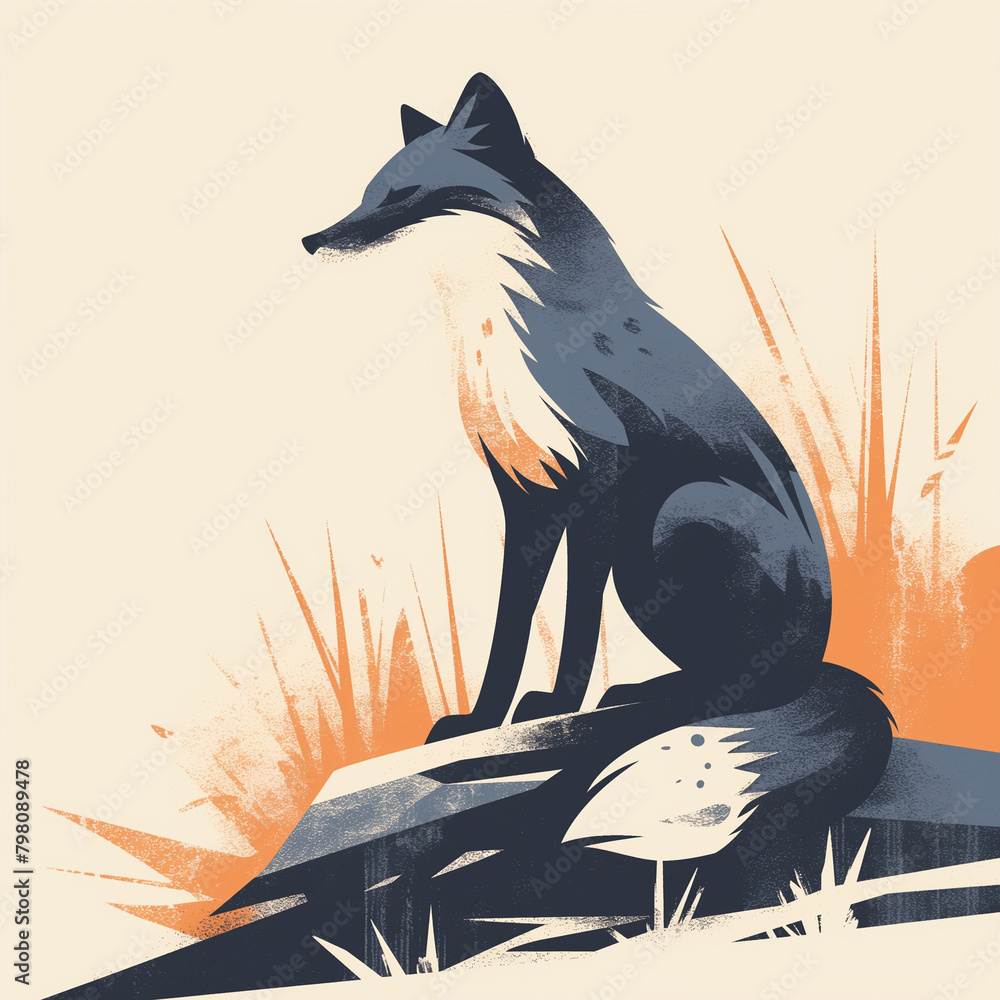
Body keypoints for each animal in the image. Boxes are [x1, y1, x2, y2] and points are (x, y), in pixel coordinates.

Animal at [302, 73, 892, 787]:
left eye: (399, 194)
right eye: (368, 191)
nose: (309, 240)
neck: (500, 338)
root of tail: (821, 658)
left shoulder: (599, 486)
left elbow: (578, 621)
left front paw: (553, 707)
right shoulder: (525, 493)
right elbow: (509, 630)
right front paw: (479, 721)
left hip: (671, 522)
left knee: (742, 685)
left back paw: (647, 693)